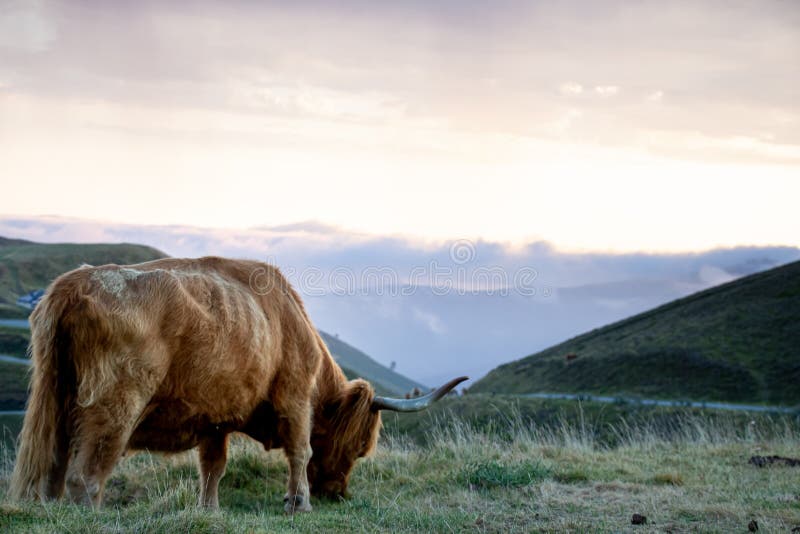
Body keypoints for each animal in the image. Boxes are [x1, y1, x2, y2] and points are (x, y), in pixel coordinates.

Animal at [9, 257, 466, 513]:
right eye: (358, 447)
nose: (335, 493)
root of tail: (73, 284)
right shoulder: (294, 396)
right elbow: (301, 450)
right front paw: (298, 503)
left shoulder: (213, 419)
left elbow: (214, 466)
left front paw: (208, 510)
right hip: (114, 402)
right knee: (86, 474)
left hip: (55, 398)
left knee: (53, 466)